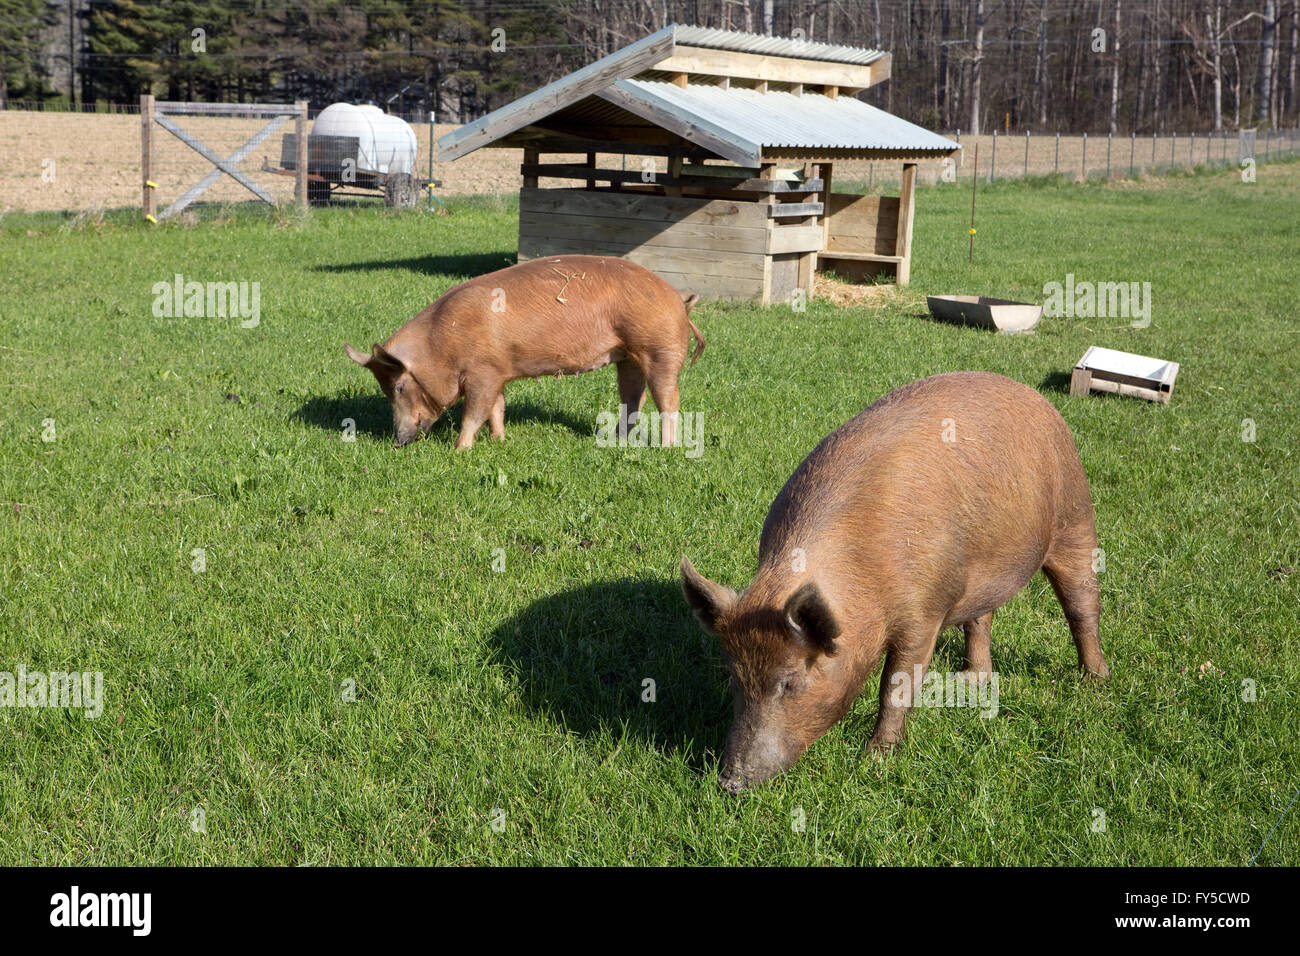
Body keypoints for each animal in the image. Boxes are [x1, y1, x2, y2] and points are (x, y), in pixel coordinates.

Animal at [345, 254, 704, 449]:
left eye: (399, 387)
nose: (397, 441)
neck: (442, 346)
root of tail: (679, 300)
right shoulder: (497, 372)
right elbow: (497, 408)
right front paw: (500, 441)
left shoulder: (482, 373)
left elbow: (473, 412)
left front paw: (460, 450)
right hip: (628, 357)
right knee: (633, 398)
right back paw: (614, 439)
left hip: (659, 348)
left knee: (668, 399)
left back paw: (667, 447)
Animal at [680, 371, 1110, 792]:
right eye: (734, 678)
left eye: (789, 682)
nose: (729, 782)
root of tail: (1035, 397)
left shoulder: (924, 612)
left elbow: (896, 684)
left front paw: (875, 760)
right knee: (981, 617)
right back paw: (971, 682)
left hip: (1075, 515)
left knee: (1082, 606)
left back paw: (1094, 683)